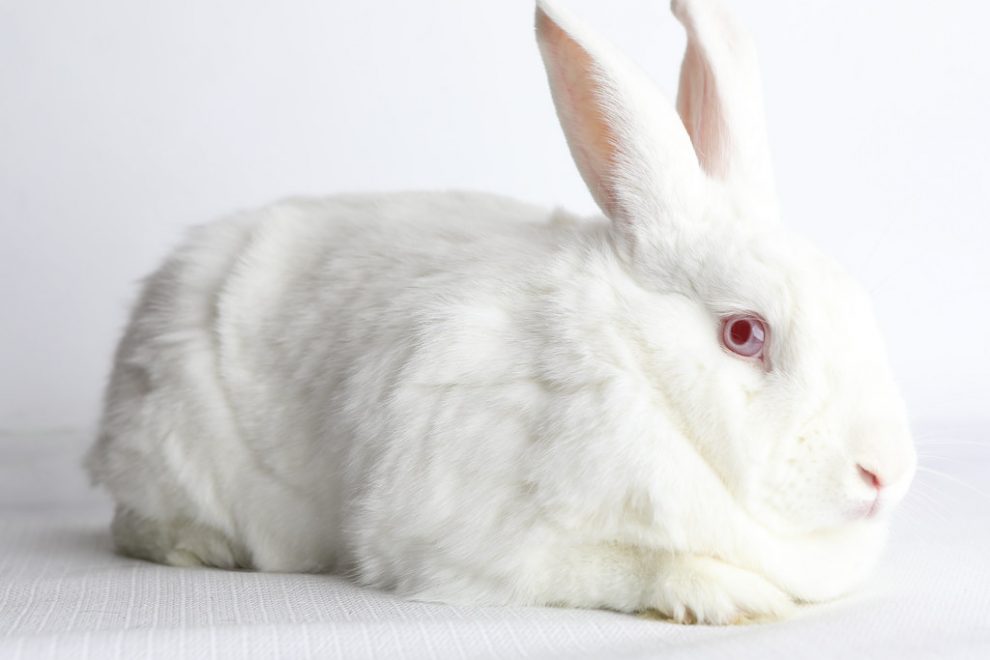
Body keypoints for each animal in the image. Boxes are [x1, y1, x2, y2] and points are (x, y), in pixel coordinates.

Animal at [86, 0, 917, 625]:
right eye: (744, 333)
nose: (884, 473)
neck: (636, 367)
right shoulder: (479, 542)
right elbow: (619, 566)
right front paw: (726, 594)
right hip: (174, 453)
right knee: (137, 523)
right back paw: (205, 549)